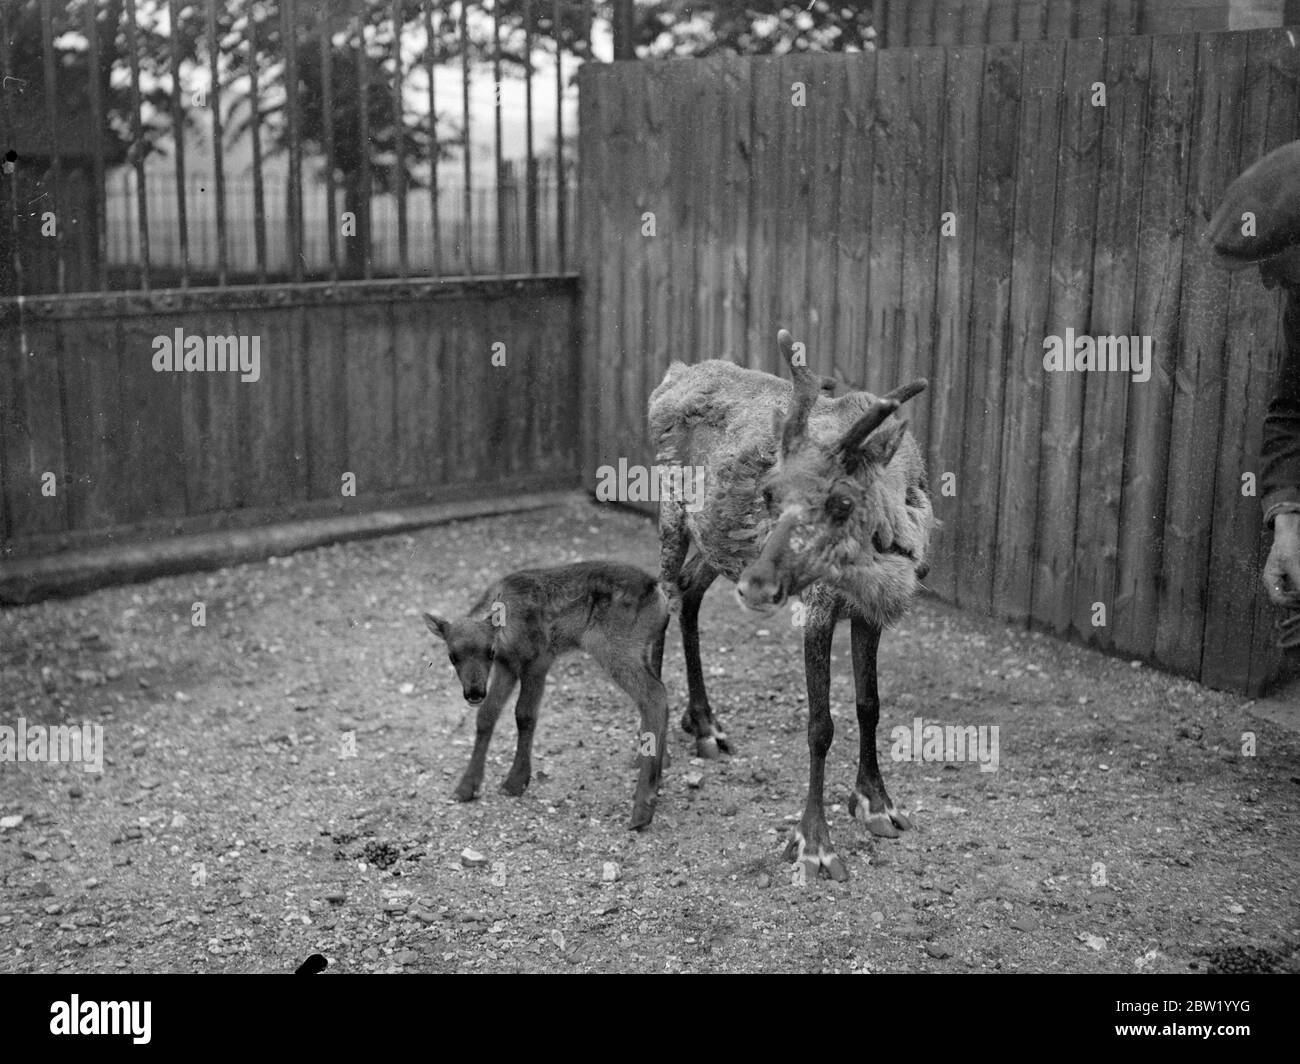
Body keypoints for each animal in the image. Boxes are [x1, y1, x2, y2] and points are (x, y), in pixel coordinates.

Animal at [649, 329, 933, 881]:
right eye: (769, 492)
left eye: (842, 501)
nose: (760, 588)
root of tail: (673, 375)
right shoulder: (820, 606)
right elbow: (820, 725)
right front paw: (814, 844)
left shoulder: (869, 610)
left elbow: (869, 704)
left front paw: (877, 804)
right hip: (671, 509)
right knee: (661, 599)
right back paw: (653, 741)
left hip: (717, 541)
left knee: (690, 593)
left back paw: (706, 725)